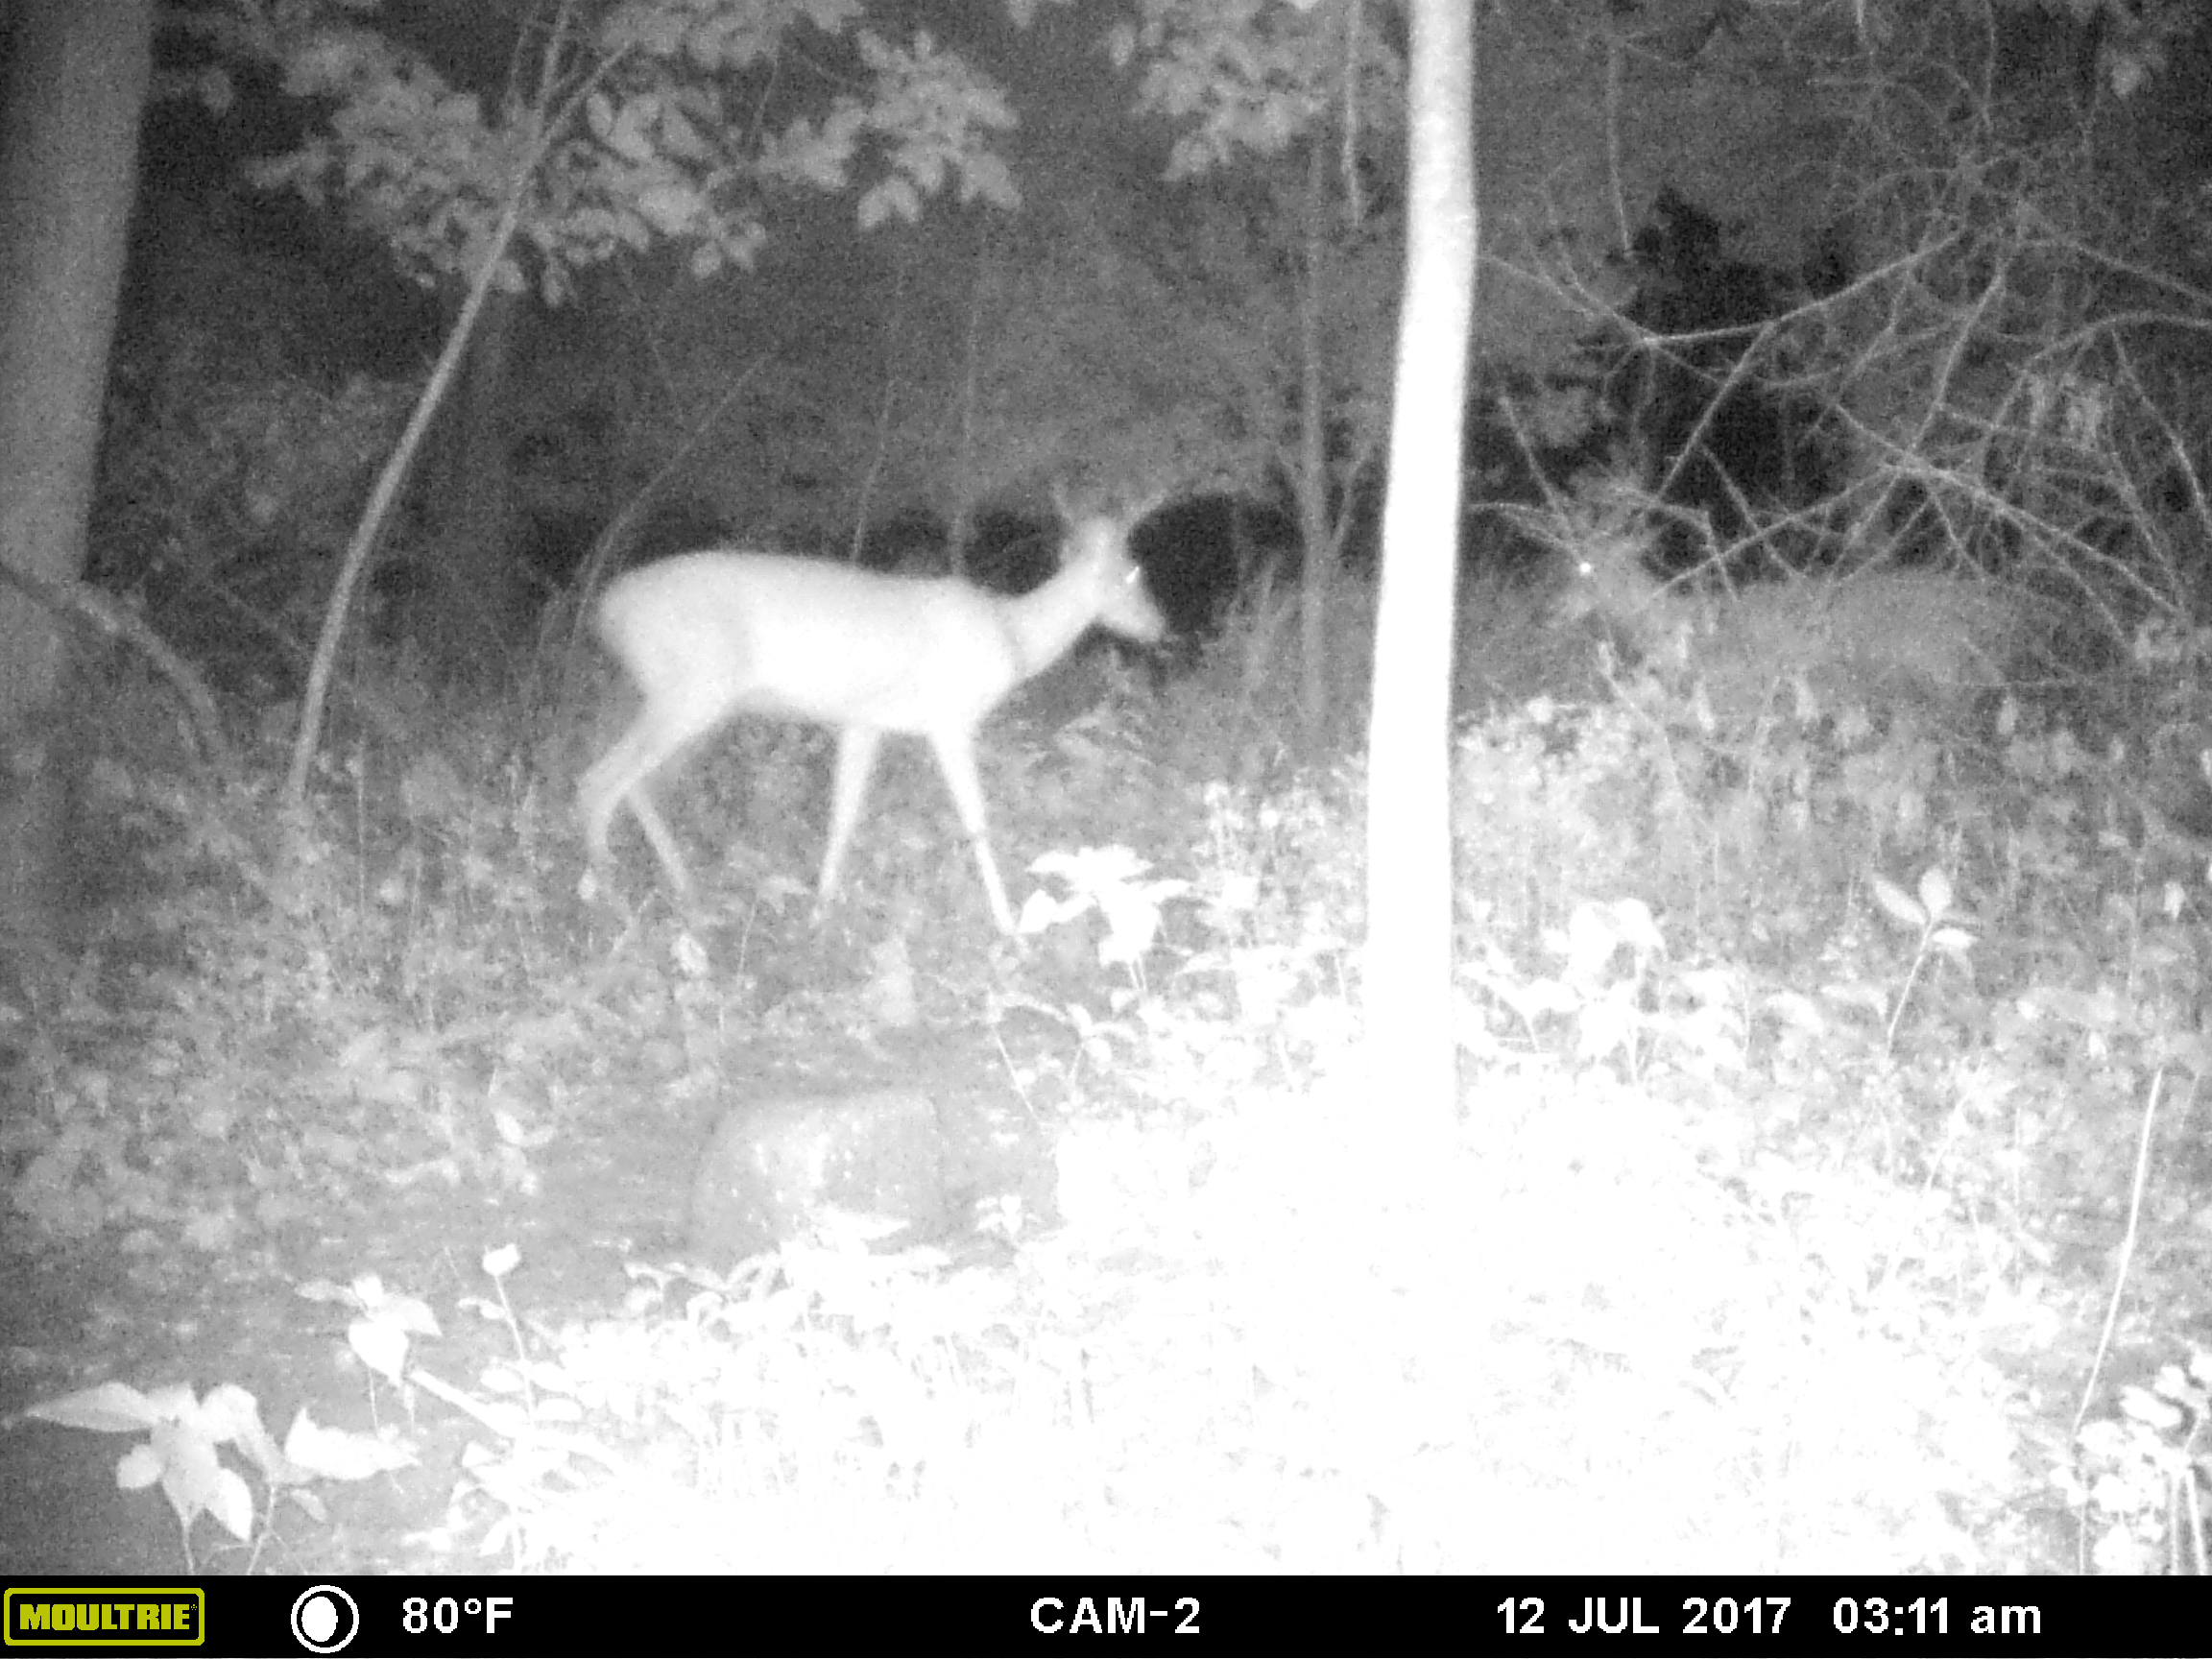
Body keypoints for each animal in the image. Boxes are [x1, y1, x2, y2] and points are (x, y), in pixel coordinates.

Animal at [578, 494, 1167, 933]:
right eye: (1134, 570)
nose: (1159, 627)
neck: (1013, 636)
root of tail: (607, 612)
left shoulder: (864, 722)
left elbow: (843, 816)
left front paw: (819, 916)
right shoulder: (950, 719)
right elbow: (977, 822)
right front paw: (1010, 927)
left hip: (679, 701)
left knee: (634, 783)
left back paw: (685, 891)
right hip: (688, 691)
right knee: (598, 782)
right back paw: (616, 908)